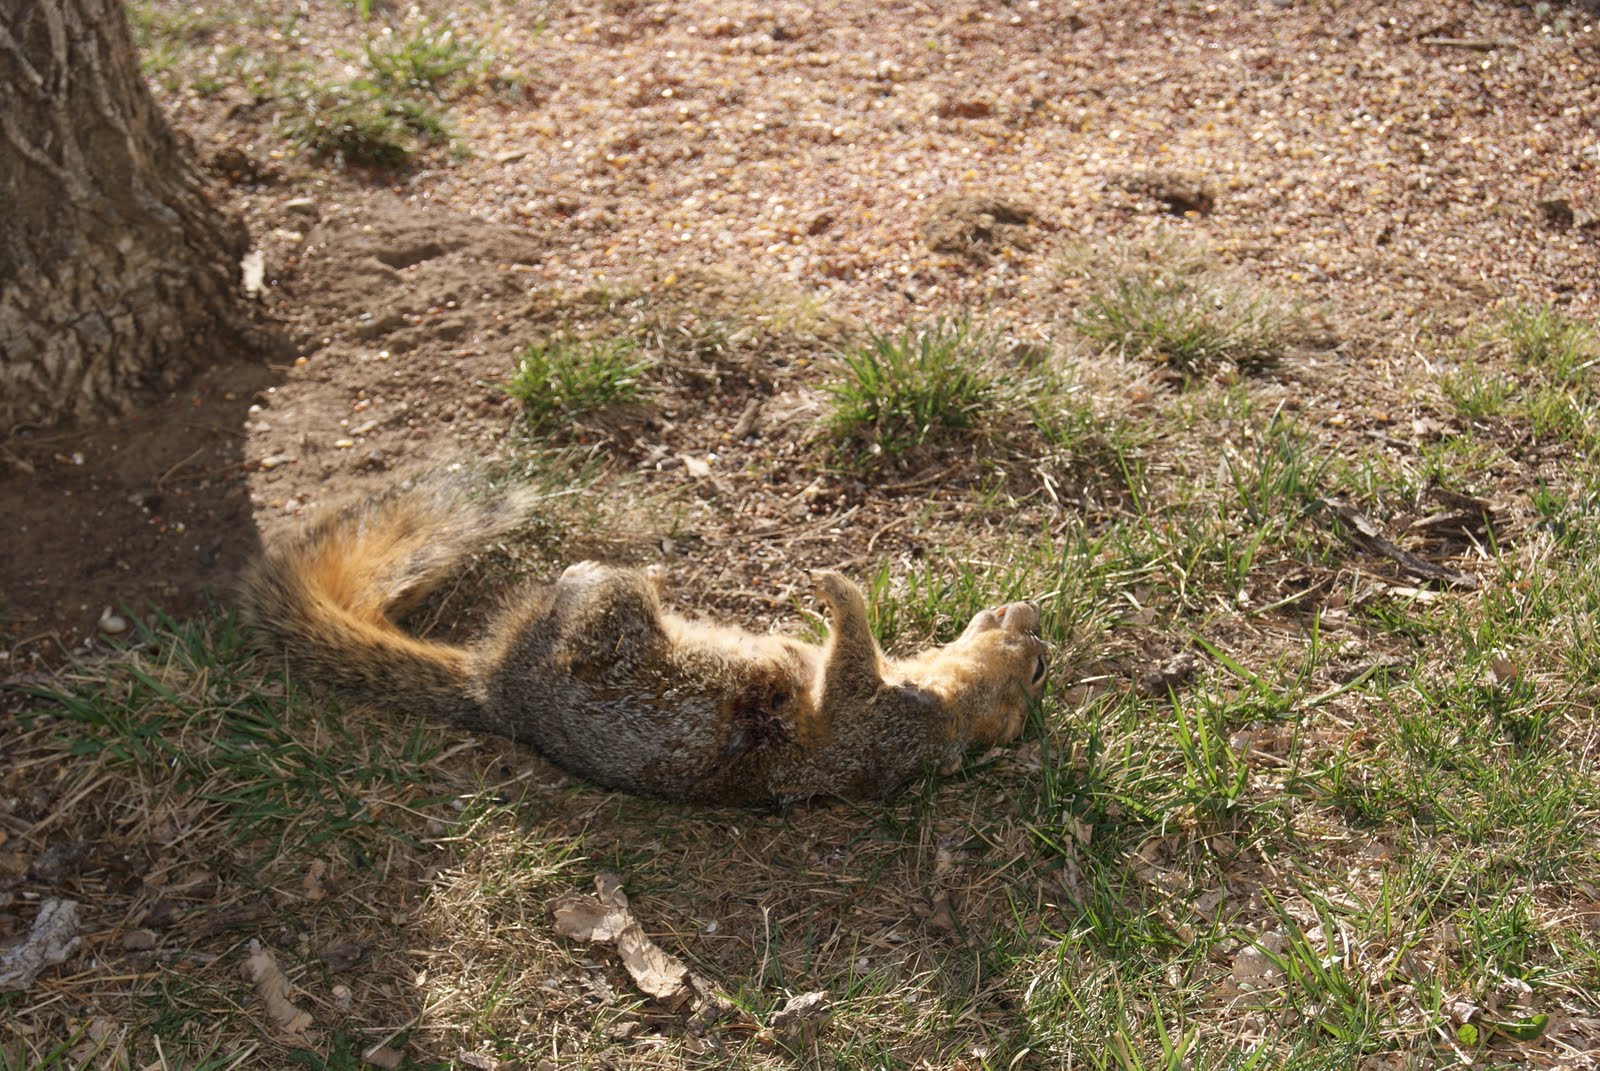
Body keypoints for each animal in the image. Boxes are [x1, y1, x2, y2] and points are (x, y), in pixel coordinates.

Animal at [240, 485, 1049, 806]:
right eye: (1033, 650)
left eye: (1036, 671)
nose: (1030, 613)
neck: (942, 698)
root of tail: (497, 687)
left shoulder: (876, 718)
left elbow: (845, 658)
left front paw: (836, 588)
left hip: (607, 628)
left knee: (596, 593)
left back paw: (606, 572)